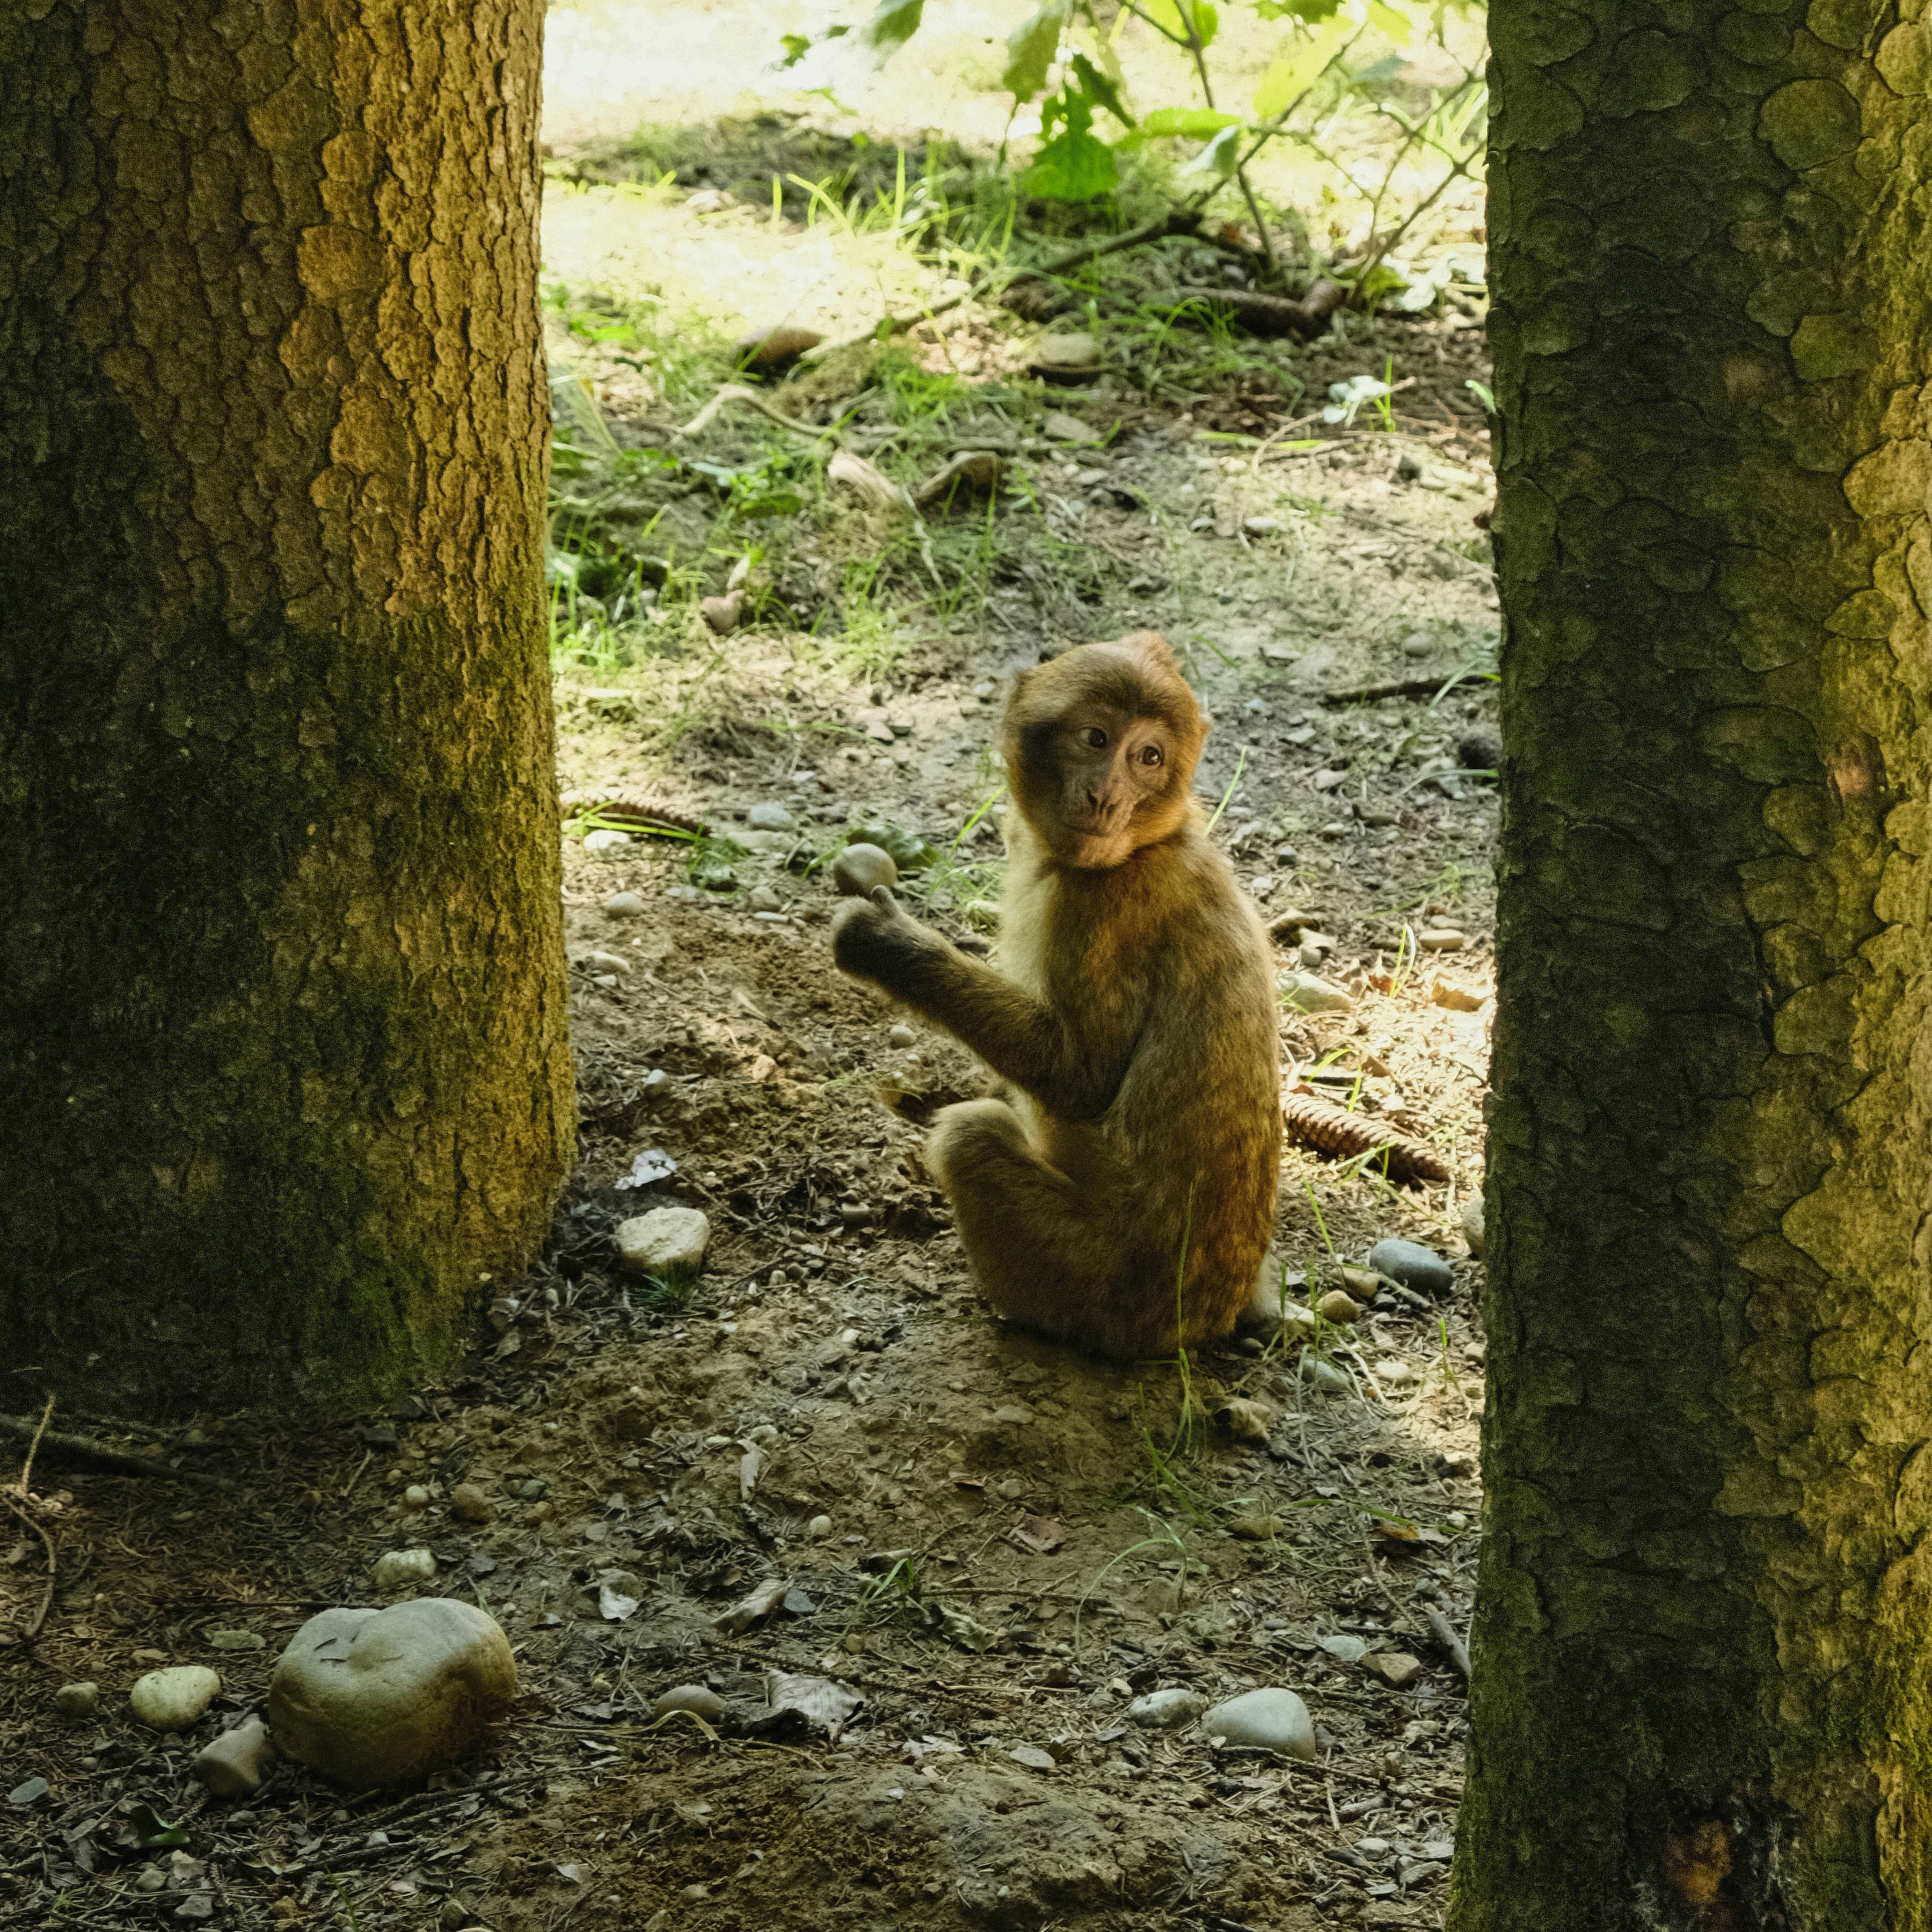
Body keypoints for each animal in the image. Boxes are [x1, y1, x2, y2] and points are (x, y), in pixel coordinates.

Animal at [831, 631, 1282, 1362]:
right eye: (1095, 738)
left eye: (1148, 757)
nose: (1105, 799)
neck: (1150, 841)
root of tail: (1202, 1321)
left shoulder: (1099, 909)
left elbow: (1079, 1079)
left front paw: (890, 946)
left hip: (1107, 1290)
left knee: (969, 1136)